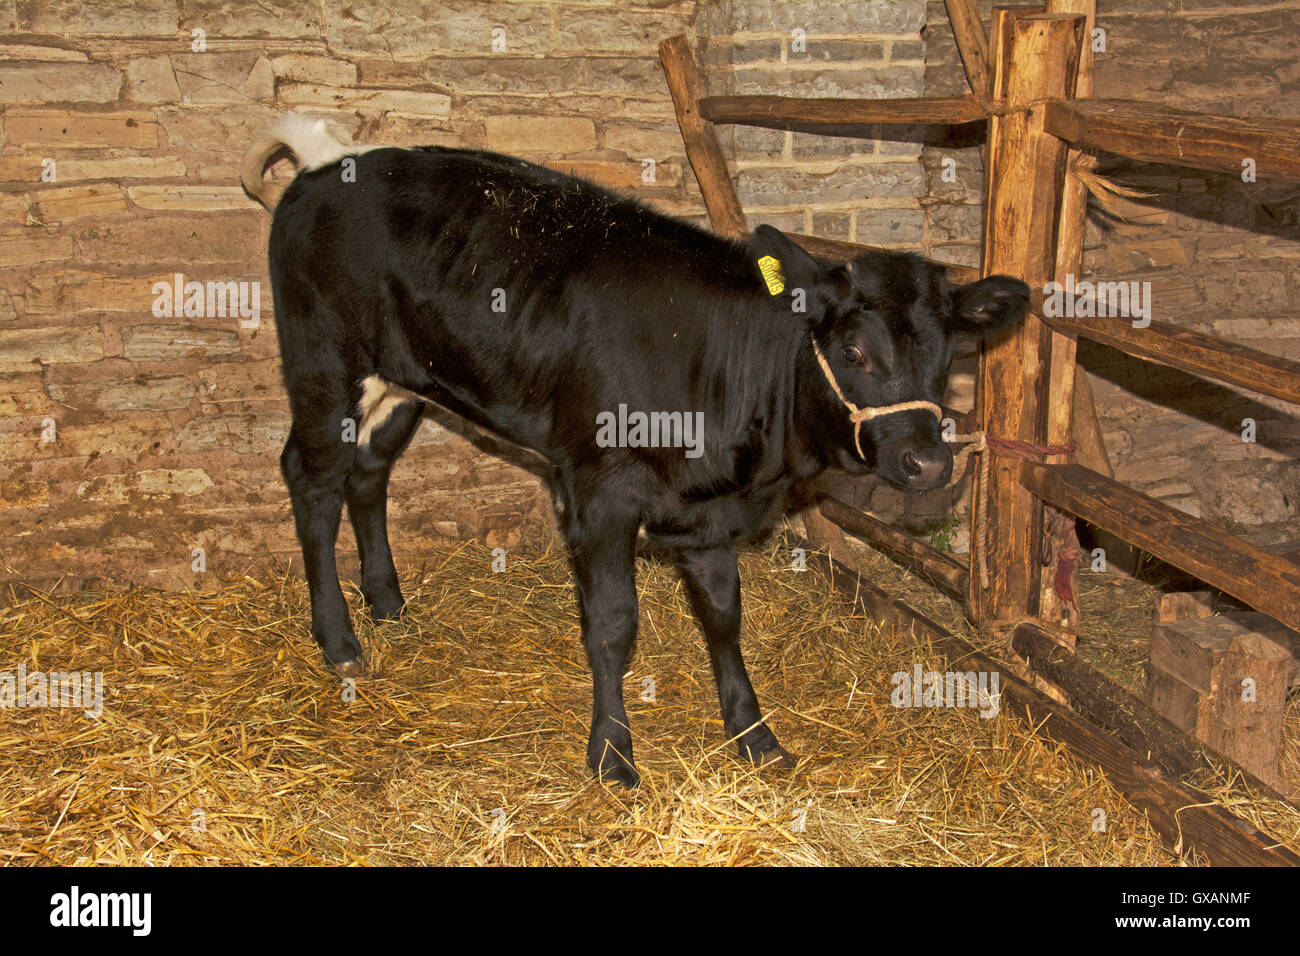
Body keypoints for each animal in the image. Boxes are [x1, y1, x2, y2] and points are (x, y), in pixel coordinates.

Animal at [241, 113, 1029, 787]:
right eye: (855, 351)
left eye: (948, 357)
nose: (930, 462)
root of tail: (331, 159)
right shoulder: (600, 496)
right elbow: (614, 627)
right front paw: (612, 755)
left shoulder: (707, 514)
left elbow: (723, 617)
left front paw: (755, 736)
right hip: (323, 366)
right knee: (313, 483)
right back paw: (340, 640)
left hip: (403, 382)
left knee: (368, 475)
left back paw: (387, 602)